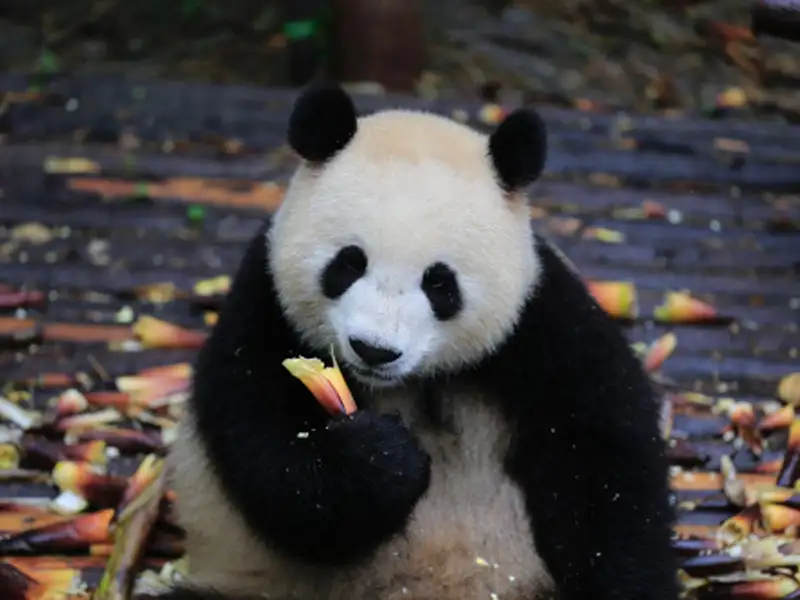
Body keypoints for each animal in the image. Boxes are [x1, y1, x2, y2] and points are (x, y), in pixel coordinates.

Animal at [161, 83, 678, 600]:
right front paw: (382, 458)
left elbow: (602, 460)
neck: (412, 382)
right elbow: (263, 442)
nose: (374, 350)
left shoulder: (539, 324)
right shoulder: (266, 306)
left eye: (440, 283)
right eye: (348, 263)